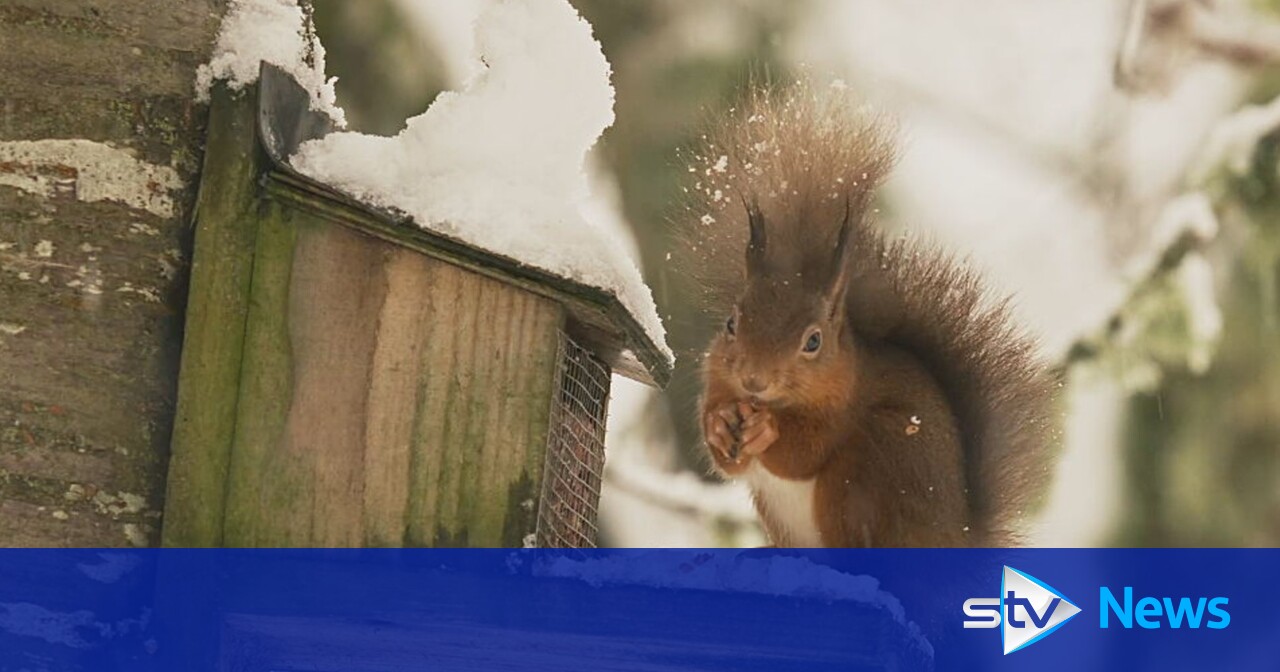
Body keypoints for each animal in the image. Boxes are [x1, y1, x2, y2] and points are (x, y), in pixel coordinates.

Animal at [681, 84, 1057, 547]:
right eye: (731, 324)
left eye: (813, 341)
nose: (754, 380)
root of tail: (961, 540)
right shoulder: (718, 380)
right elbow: (726, 459)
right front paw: (718, 425)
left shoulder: (846, 404)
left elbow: (803, 454)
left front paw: (767, 429)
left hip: (869, 466)